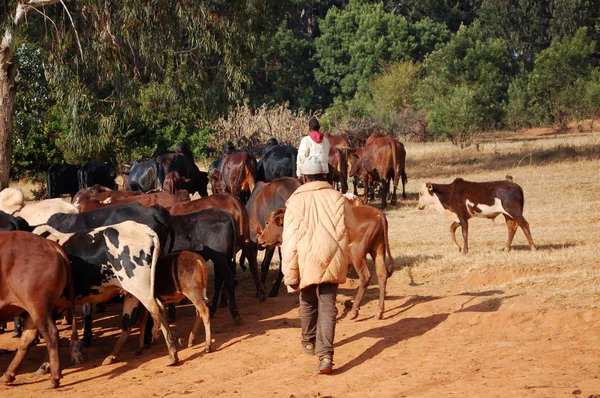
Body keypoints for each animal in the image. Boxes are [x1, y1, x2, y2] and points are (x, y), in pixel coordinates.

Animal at [0, 232, 82, 388]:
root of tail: (49, 243)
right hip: (33, 309)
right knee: (28, 338)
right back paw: (8, 375)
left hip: (37, 306)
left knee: (51, 334)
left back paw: (54, 378)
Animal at [34, 222, 179, 366]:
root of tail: (144, 229)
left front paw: (46, 363)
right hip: (131, 292)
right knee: (130, 321)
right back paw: (114, 355)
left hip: (141, 288)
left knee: (157, 310)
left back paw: (172, 354)